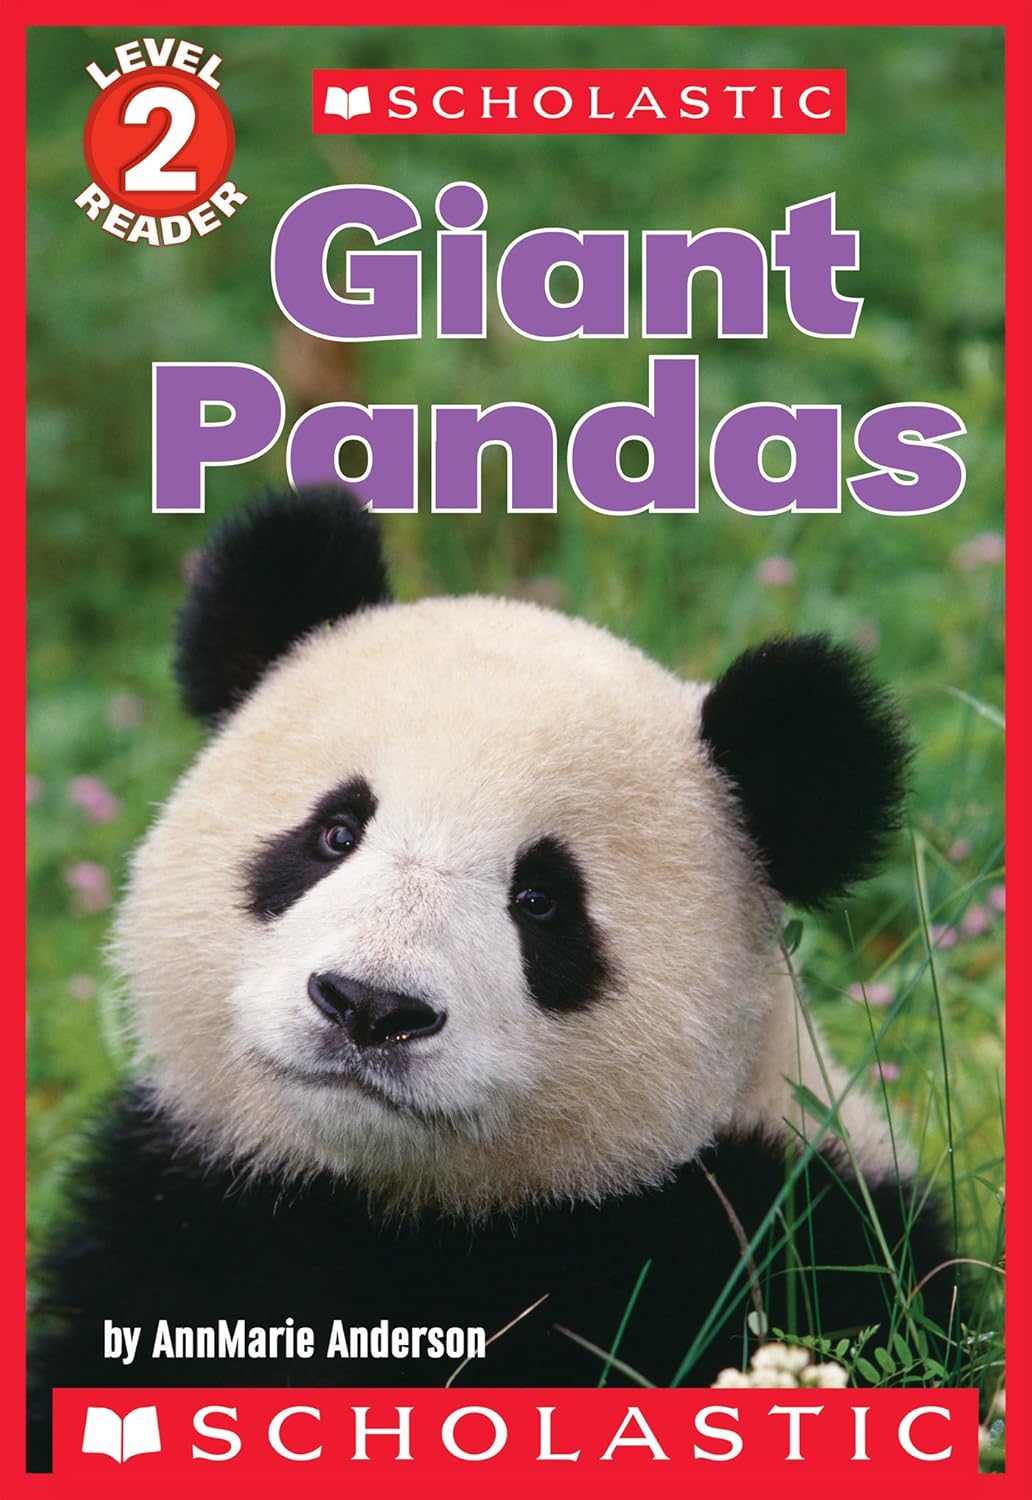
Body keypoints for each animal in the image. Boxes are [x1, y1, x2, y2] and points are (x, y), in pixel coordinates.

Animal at [28, 488, 957, 1467]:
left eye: (541, 900)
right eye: (335, 833)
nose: (370, 1007)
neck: (393, 1210)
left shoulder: (770, 1237)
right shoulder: (180, 1224)